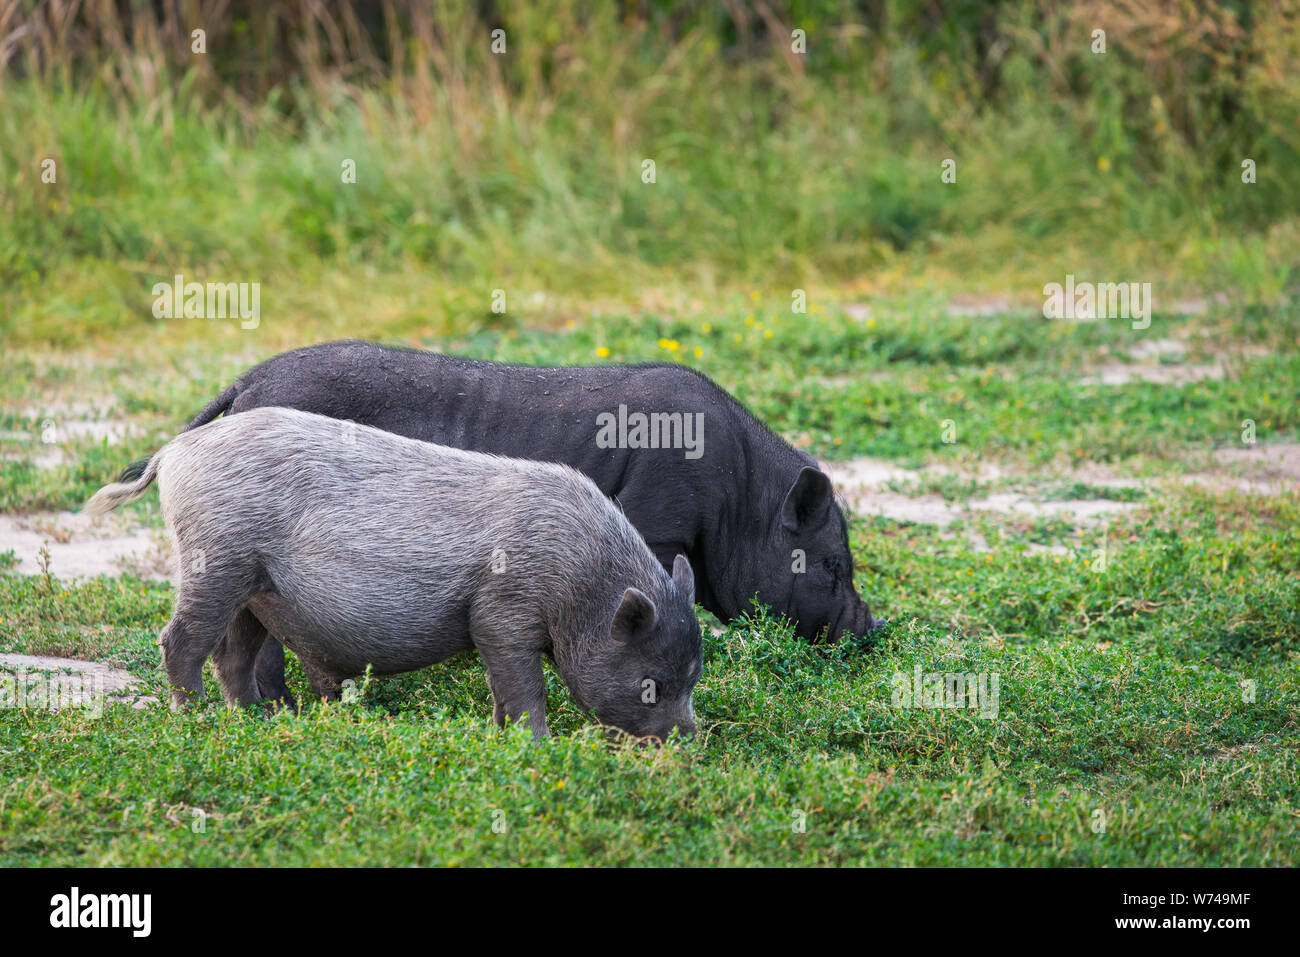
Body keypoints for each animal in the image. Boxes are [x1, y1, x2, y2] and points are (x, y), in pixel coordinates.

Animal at [85, 406, 702, 740]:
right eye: (653, 682)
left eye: (695, 676)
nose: (689, 739)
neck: (579, 582)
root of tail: (175, 450)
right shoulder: (502, 611)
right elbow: (523, 684)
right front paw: (537, 744)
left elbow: (503, 689)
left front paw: (500, 734)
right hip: (215, 560)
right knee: (180, 640)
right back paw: (193, 720)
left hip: (254, 587)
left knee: (232, 654)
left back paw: (256, 722)